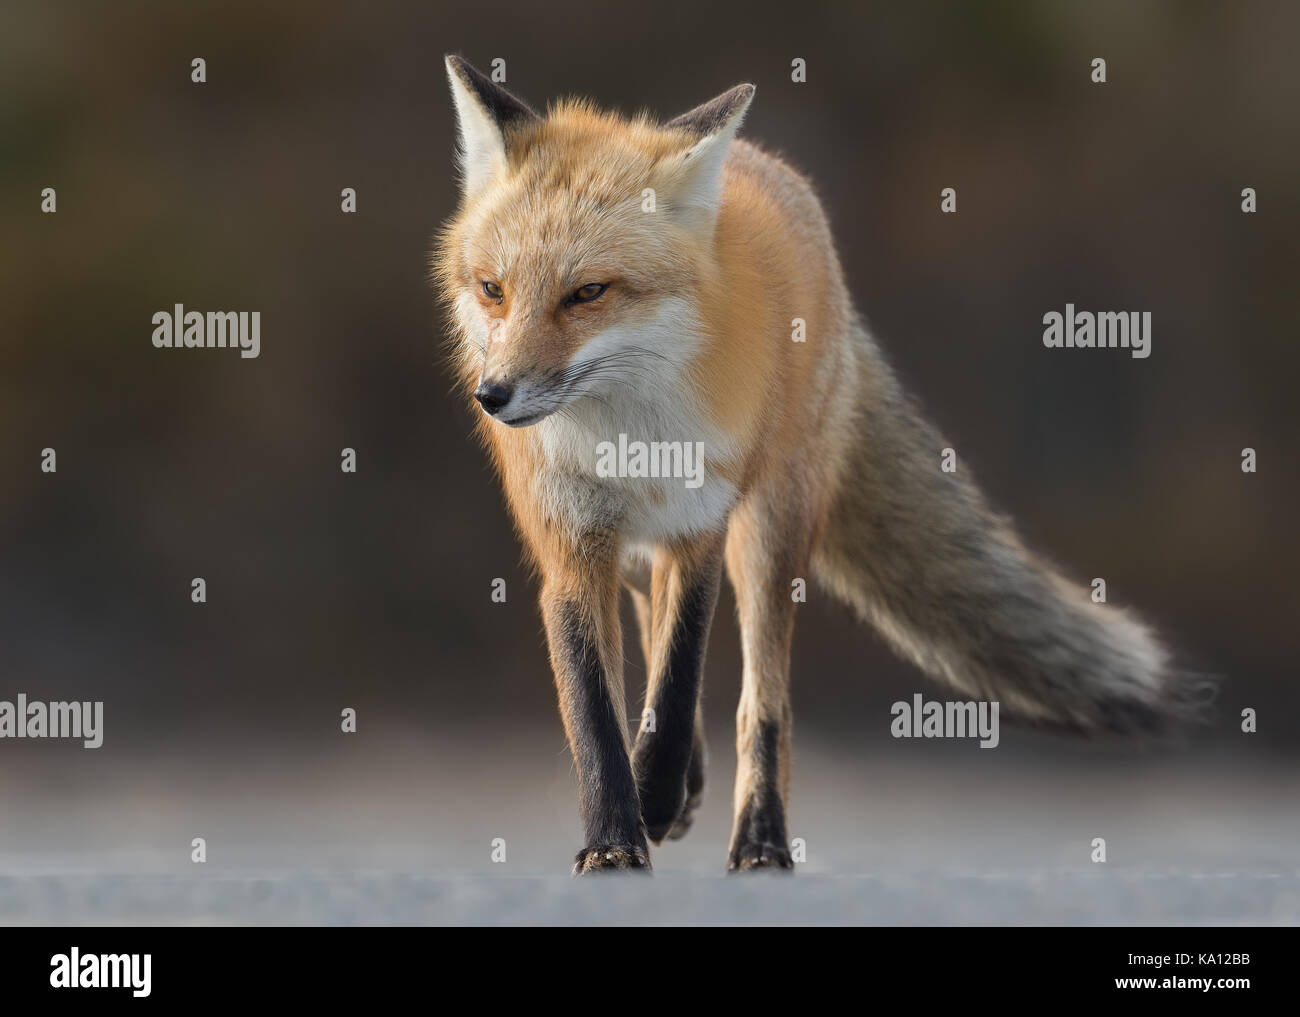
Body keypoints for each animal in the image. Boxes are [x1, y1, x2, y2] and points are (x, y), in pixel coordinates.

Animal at [433, 56, 1204, 875]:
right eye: (492, 288)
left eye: (586, 293)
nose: (494, 395)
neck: (626, 433)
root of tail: (771, 166)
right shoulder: (572, 543)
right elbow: (594, 713)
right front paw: (615, 840)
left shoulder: (702, 526)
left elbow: (678, 683)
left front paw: (654, 799)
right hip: (646, 548)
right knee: (651, 636)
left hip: (768, 534)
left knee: (762, 703)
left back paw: (760, 838)